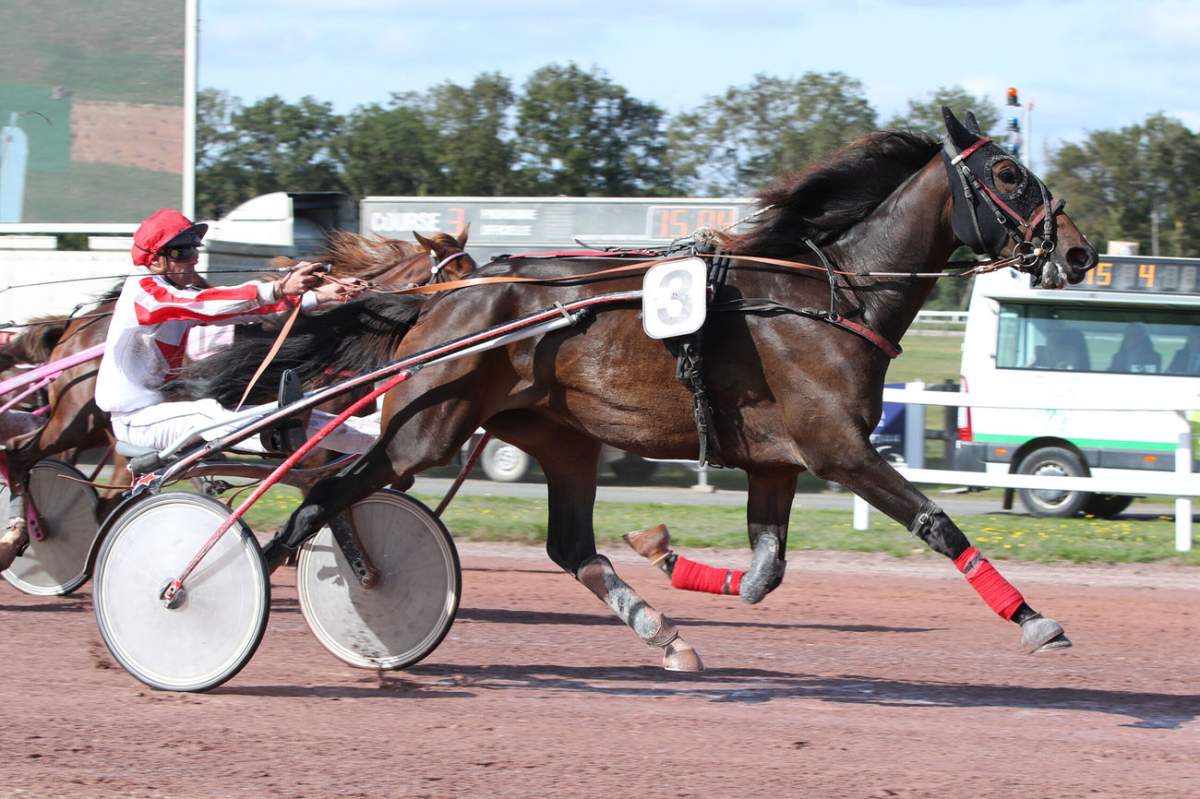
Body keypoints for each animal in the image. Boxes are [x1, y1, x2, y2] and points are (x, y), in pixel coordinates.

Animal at [0, 228, 475, 573]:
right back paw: (22, 534)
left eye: (472, 265)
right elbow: (328, 497)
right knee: (25, 456)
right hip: (78, 419)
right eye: (456, 272)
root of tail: (74, 325)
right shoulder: (314, 449)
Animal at [188, 110, 1099, 671]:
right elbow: (939, 522)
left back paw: (661, 632)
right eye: (1009, 174)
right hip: (425, 428)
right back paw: (214, 587)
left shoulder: (776, 461)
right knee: (323, 494)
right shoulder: (837, 448)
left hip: (560, 436)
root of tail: (442, 295)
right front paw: (1036, 619)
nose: (1079, 251)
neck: (825, 298)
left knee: (567, 545)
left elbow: (765, 572)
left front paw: (661, 548)